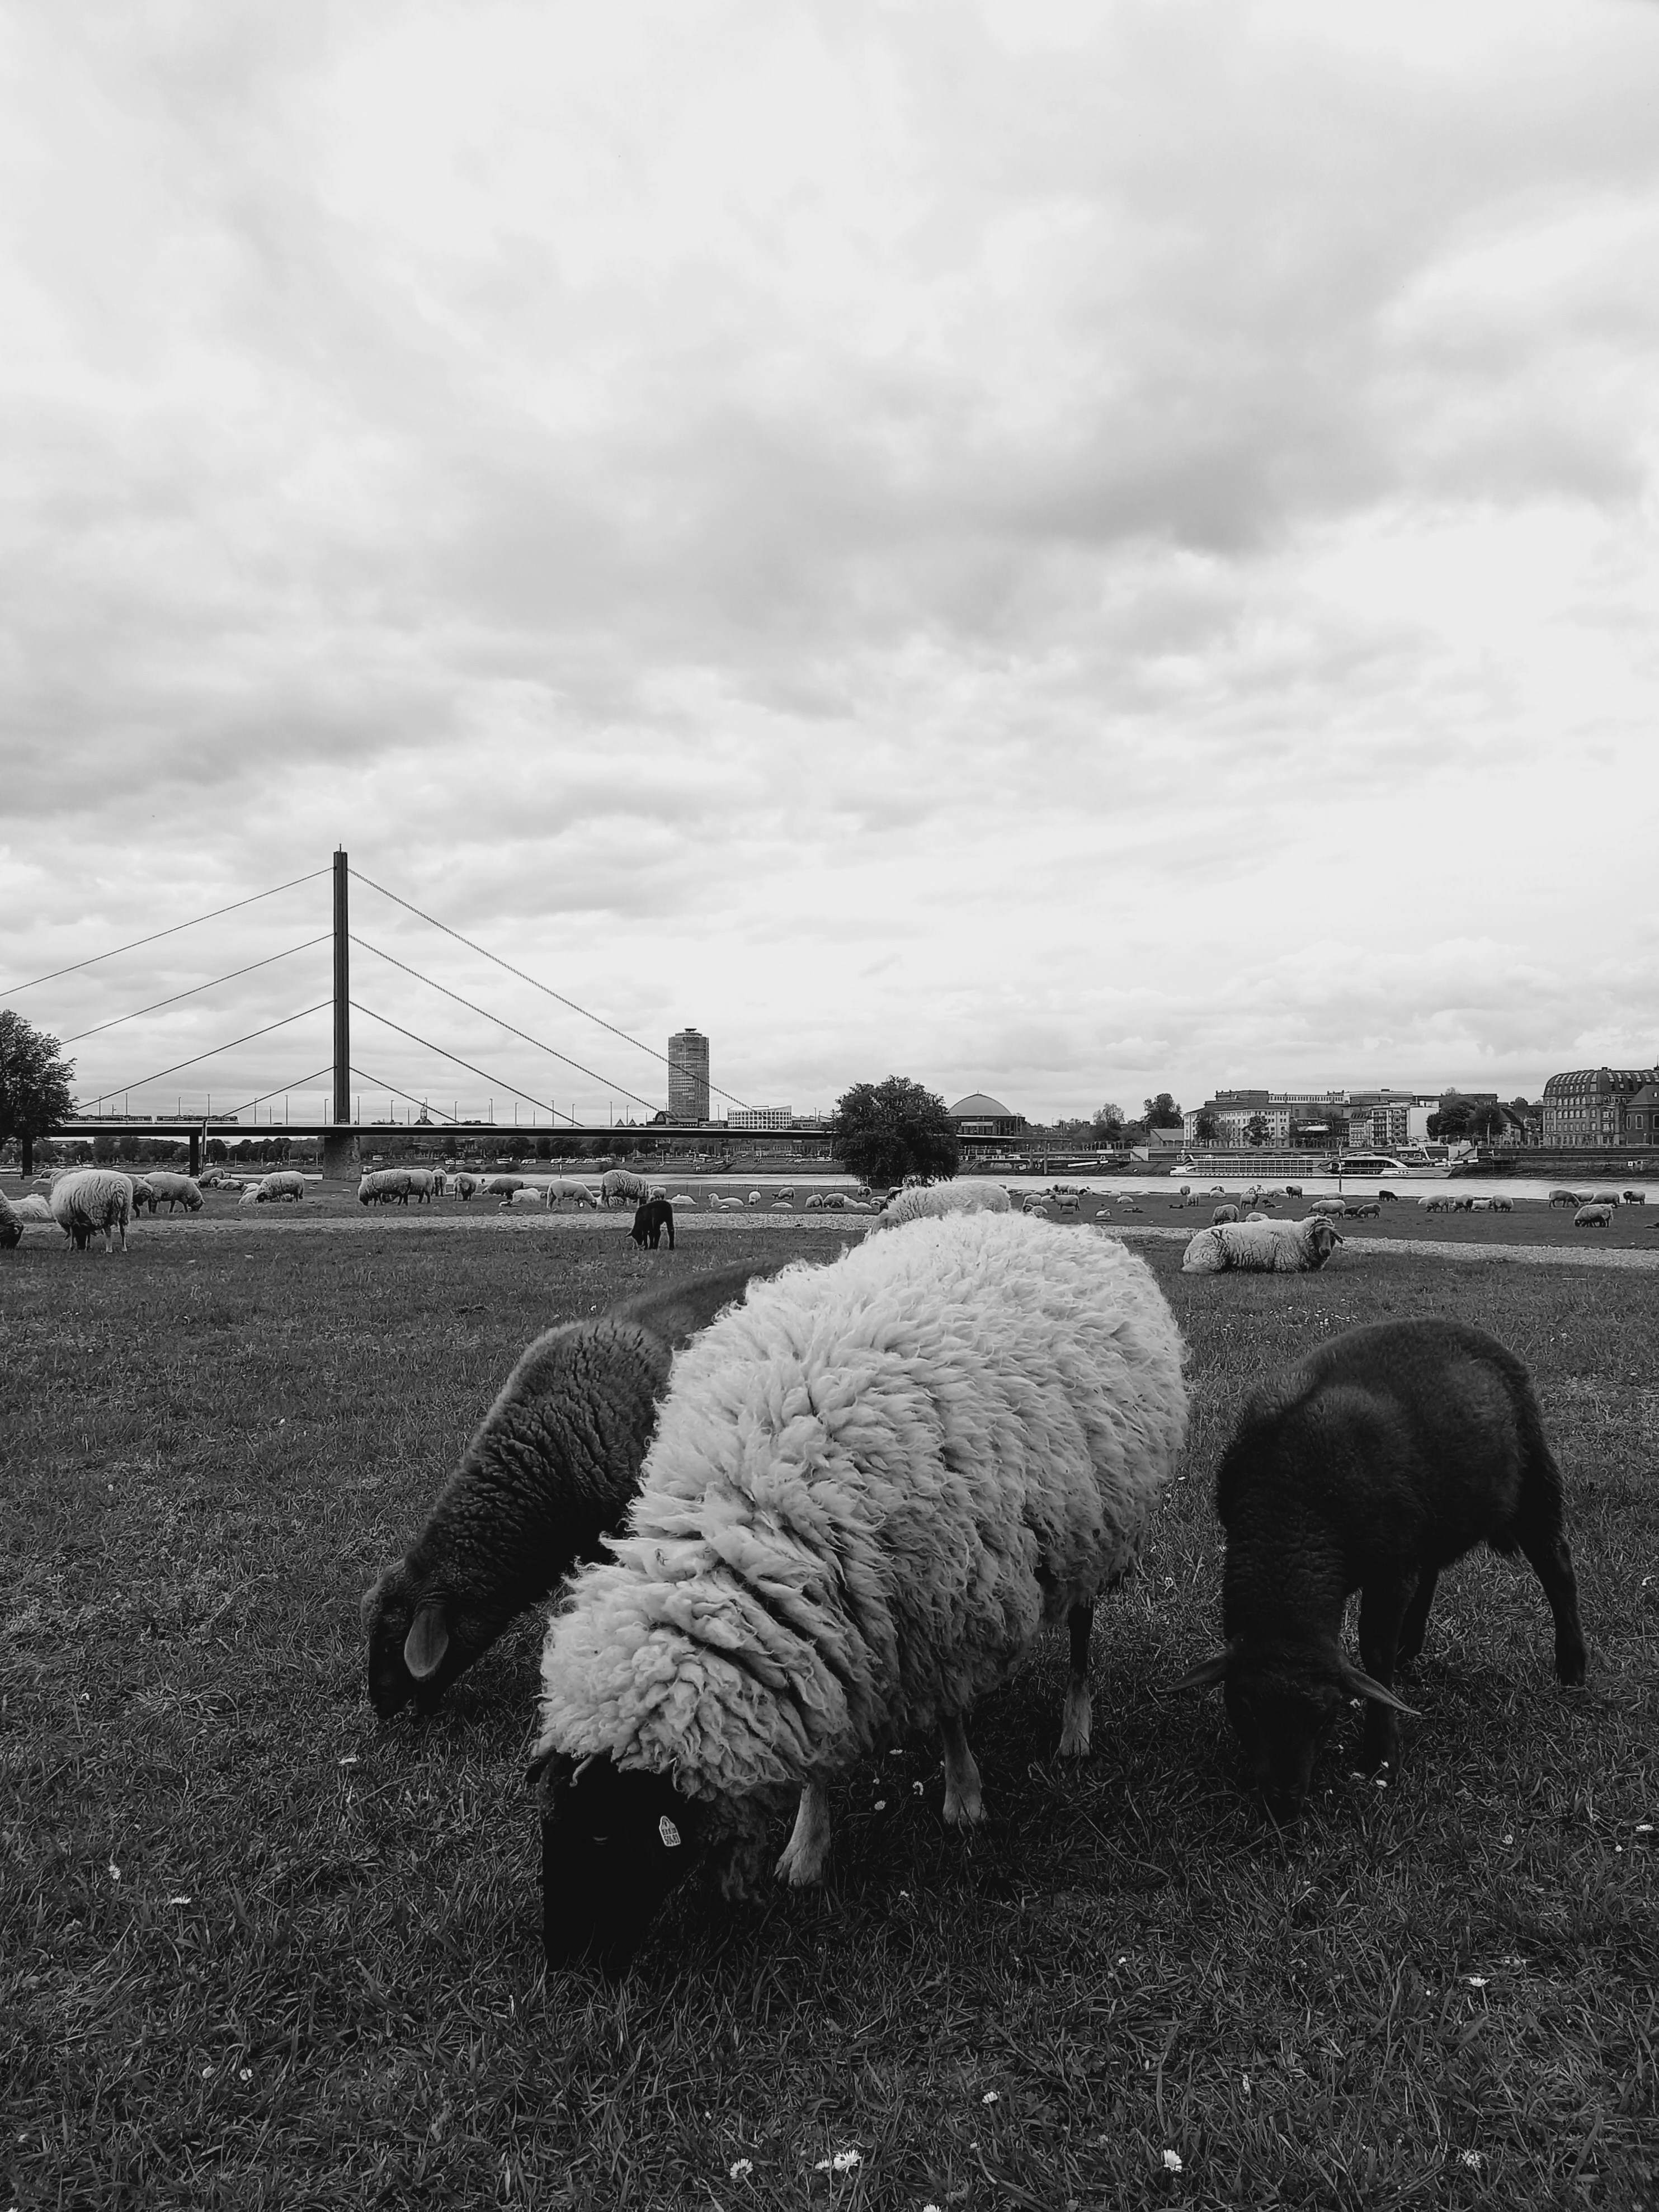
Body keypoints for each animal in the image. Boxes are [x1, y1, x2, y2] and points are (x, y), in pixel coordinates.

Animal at [49, 1169, 133, 1253]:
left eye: (78, 1235)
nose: (81, 1247)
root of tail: (118, 1188)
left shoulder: (70, 1219)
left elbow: (72, 1233)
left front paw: (72, 1247)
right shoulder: (87, 1219)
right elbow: (89, 1232)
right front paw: (88, 1247)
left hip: (101, 1211)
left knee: (108, 1231)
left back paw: (109, 1250)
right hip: (125, 1209)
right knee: (123, 1230)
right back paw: (124, 1249)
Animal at [532, 1212, 1189, 1977]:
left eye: (603, 1835)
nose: (563, 1965)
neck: (757, 1509)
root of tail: (1053, 1225)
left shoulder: (945, 1598)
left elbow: (950, 1711)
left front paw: (963, 1796)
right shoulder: (828, 1632)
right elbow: (821, 1745)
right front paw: (804, 1848)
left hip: (1097, 1529)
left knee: (1082, 1633)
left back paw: (1074, 1729)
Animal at [1167, 1318, 1586, 1818]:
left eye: (1326, 1717)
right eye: (1244, 1708)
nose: (1284, 1805)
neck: (1295, 1506)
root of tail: (1472, 1331)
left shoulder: (1390, 1570)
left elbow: (1375, 1651)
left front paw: (1382, 1755)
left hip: (1533, 1477)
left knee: (1557, 1566)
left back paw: (1572, 1666)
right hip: (1430, 1519)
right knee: (1432, 1571)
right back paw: (1413, 1644)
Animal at [1181, 1216, 1343, 1276]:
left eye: (1332, 1235)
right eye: (1317, 1233)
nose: (1326, 1251)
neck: (1297, 1237)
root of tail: (1188, 1251)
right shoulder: (1285, 1265)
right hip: (1209, 1261)